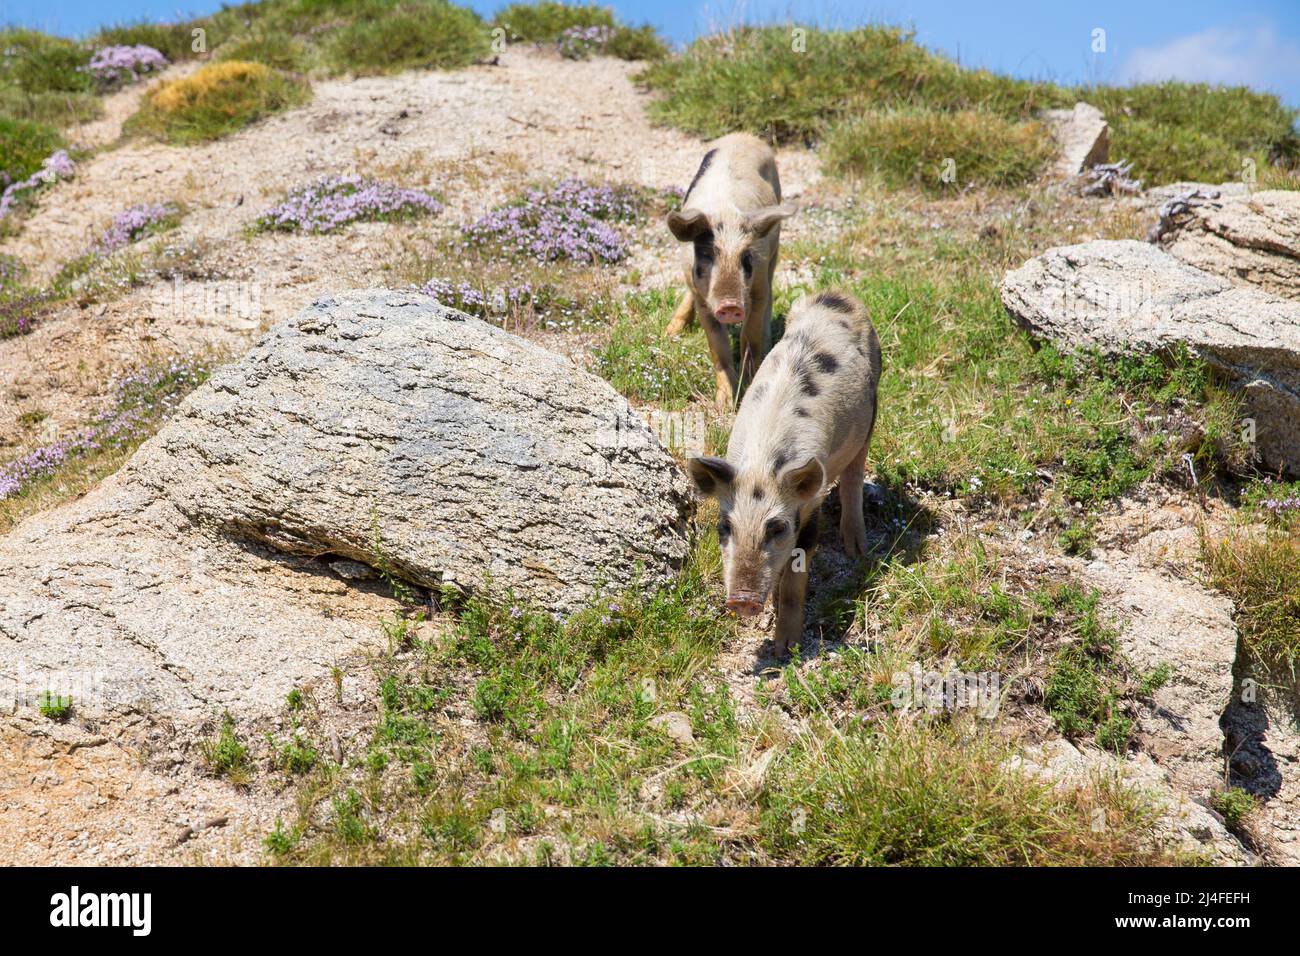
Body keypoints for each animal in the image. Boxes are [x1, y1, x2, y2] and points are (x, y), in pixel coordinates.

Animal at [664, 133, 796, 409]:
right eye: (706, 255)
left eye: (746, 258)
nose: (730, 305)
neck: (724, 212)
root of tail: (744, 135)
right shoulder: (703, 300)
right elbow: (718, 348)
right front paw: (724, 405)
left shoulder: (758, 287)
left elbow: (750, 338)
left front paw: (751, 386)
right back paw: (669, 333)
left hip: (774, 251)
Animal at [687, 289, 882, 655]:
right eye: (725, 527)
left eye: (777, 527)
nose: (741, 601)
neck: (763, 462)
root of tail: (837, 295)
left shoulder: (810, 503)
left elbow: (795, 574)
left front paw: (785, 650)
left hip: (872, 407)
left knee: (853, 475)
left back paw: (855, 549)